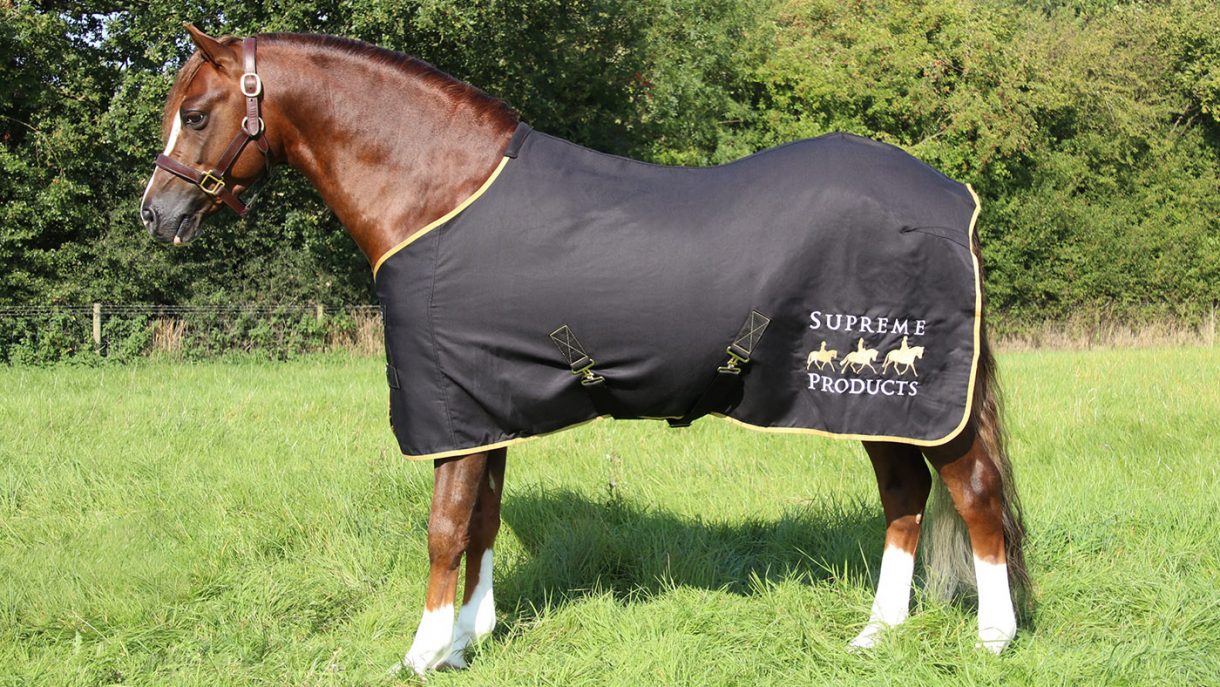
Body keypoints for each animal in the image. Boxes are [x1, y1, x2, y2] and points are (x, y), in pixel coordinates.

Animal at [140, 26, 1029, 675]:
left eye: (196, 113)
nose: (157, 213)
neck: (440, 191)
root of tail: (956, 199)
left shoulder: (449, 411)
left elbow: (444, 527)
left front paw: (421, 654)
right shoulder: (484, 404)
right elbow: (484, 521)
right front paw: (468, 640)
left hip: (918, 405)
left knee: (975, 496)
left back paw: (994, 639)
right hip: (871, 407)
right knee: (905, 496)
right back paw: (877, 634)